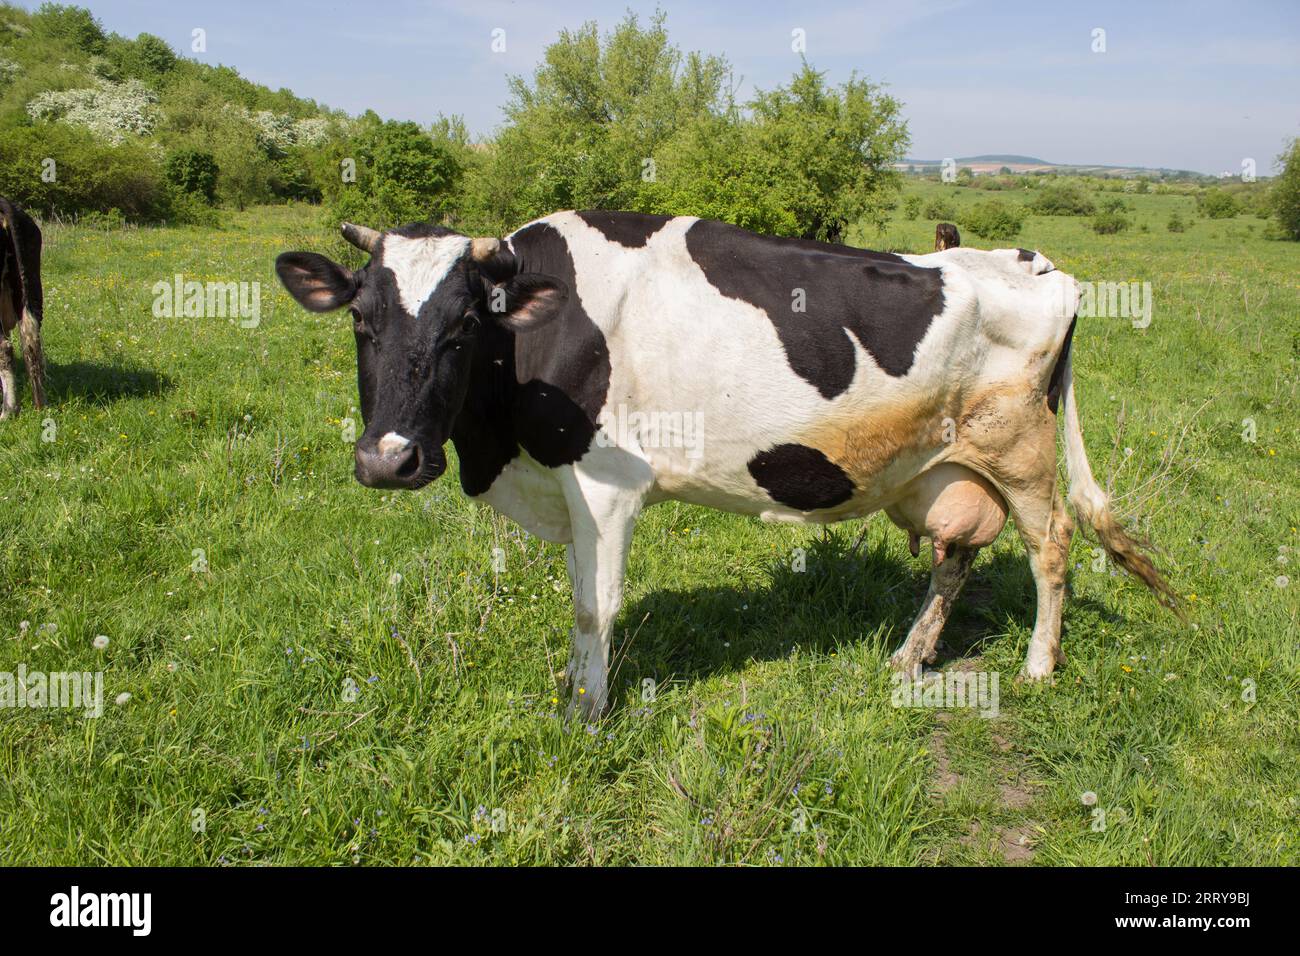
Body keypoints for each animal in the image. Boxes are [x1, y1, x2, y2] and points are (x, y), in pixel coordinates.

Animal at [276, 211, 1179, 718]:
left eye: (465, 325)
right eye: (359, 318)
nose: (388, 459)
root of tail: (1041, 265)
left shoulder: (606, 483)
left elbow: (594, 609)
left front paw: (586, 716)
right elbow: (580, 602)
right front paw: (572, 692)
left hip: (1020, 450)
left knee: (1051, 547)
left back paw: (1037, 668)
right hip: (939, 467)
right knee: (956, 556)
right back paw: (908, 658)